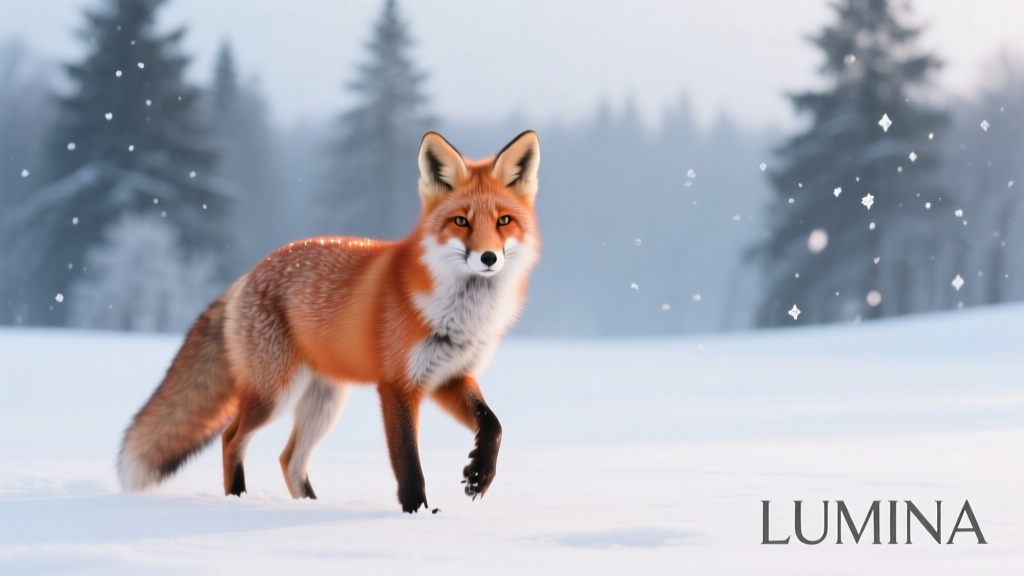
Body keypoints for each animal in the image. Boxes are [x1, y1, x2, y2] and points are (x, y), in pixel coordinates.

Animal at [118, 130, 541, 513]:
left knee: (289, 459)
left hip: (324, 403)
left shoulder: (449, 377)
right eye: (460, 221)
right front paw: (416, 515)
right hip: (275, 395)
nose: (488, 257)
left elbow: (494, 425)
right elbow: (408, 463)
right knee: (230, 437)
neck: (458, 316)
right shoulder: (399, 385)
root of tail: (248, 274)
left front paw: (479, 474)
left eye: (504, 221)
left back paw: (311, 506)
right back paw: (238, 498)